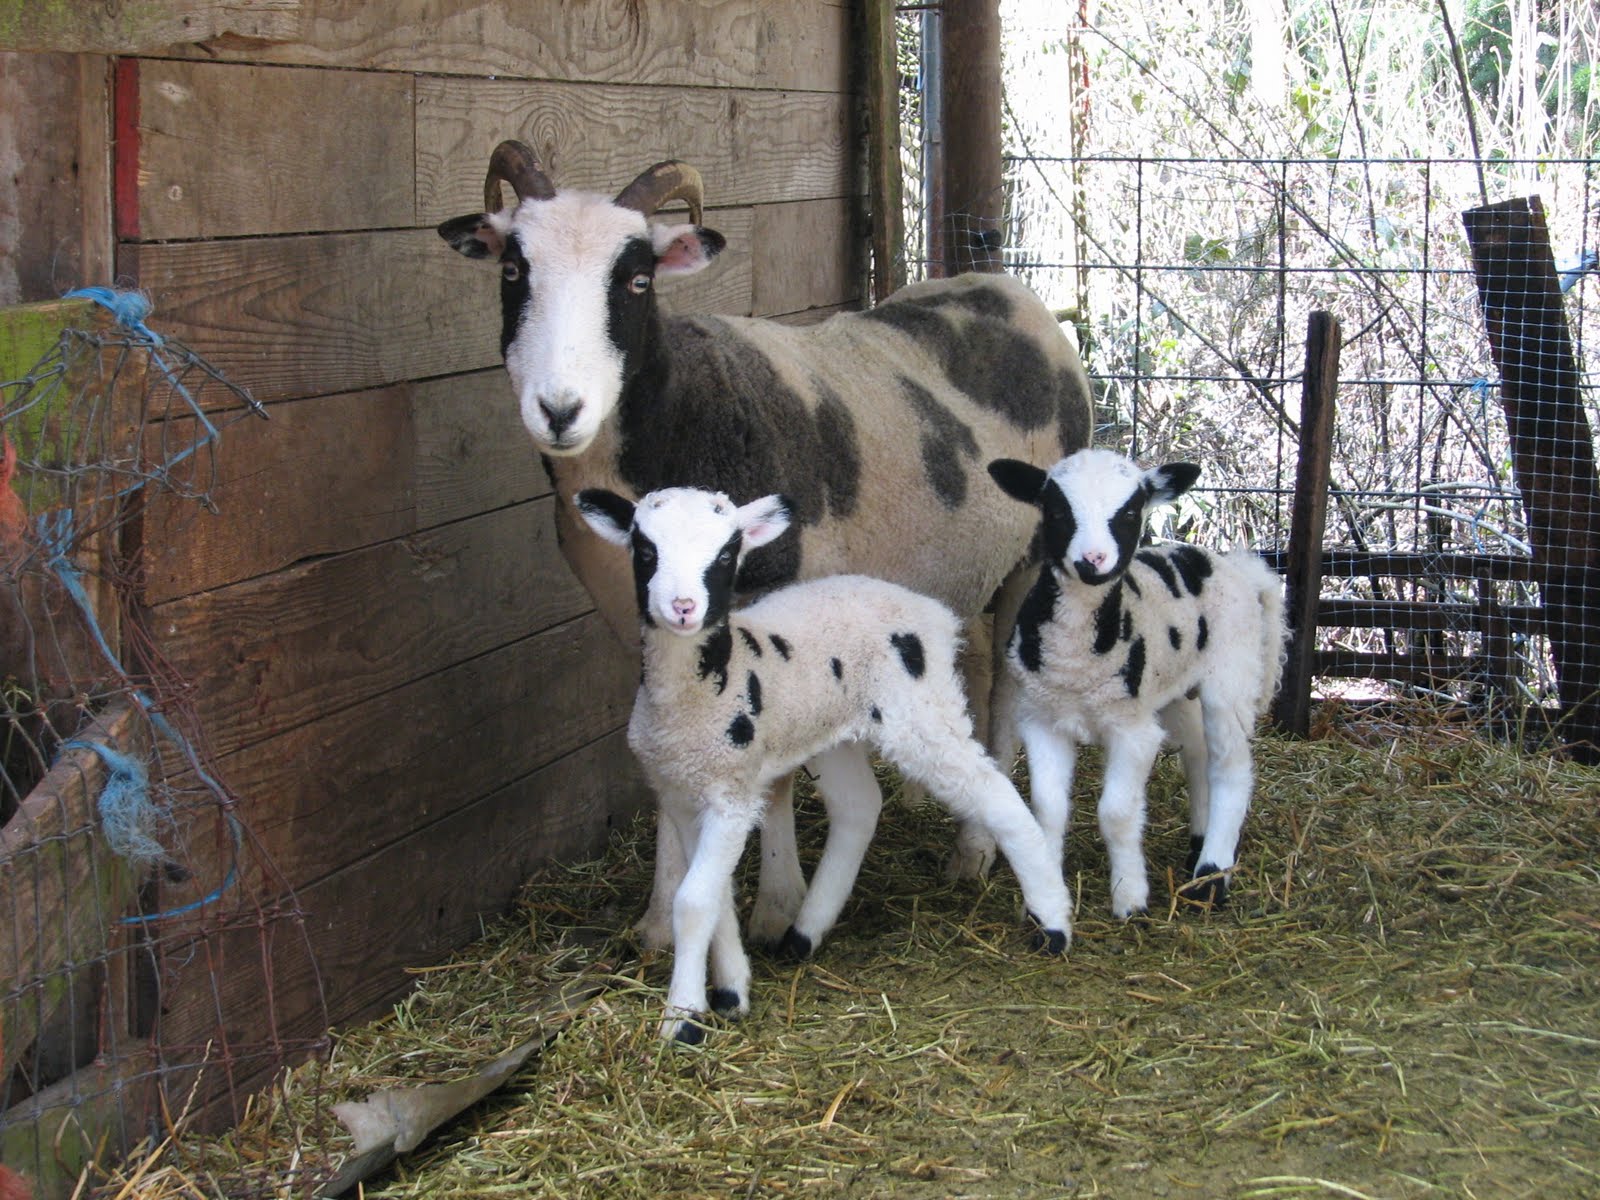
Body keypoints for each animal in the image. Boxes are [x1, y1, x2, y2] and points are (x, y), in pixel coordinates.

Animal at [438, 140, 1092, 949]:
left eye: (636, 280)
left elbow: (771, 768)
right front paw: (659, 921)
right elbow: (658, 753)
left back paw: (973, 853)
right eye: (512, 271)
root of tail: (1013, 293)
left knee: (1006, 697)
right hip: (960, 568)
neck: (675, 421)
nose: (560, 410)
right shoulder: (635, 622)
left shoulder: (774, 610)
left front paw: (777, 906)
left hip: (1035, 558)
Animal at [576, 484, 1072, 1041]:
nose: (683, 608)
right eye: (644, 549)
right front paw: (730, 993)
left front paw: (682, 1018)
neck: (706, 685)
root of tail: (934, 613)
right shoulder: (682, 795)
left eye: (726, 555)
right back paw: (804, 934)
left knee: (996, 794)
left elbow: (694, 901)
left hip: (921, 713)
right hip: (834, 734)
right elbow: (714, 896)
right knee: (860, 806)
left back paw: (1052, 923)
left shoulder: (732, 795)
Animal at [987, 448, 1286, 919]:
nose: (1092, 560)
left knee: (1231, 768)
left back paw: (1211, 875)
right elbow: (1048, 810)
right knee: (1198, 755)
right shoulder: (1042, 720)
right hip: (1176, 689)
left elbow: (1116, 813)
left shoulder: (1133, 732)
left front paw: (1130, 897)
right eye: (1056, 510)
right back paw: (1198, 843)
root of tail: (1236, 565)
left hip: (1230, 674)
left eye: (1129, 512)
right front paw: (1045, 901)